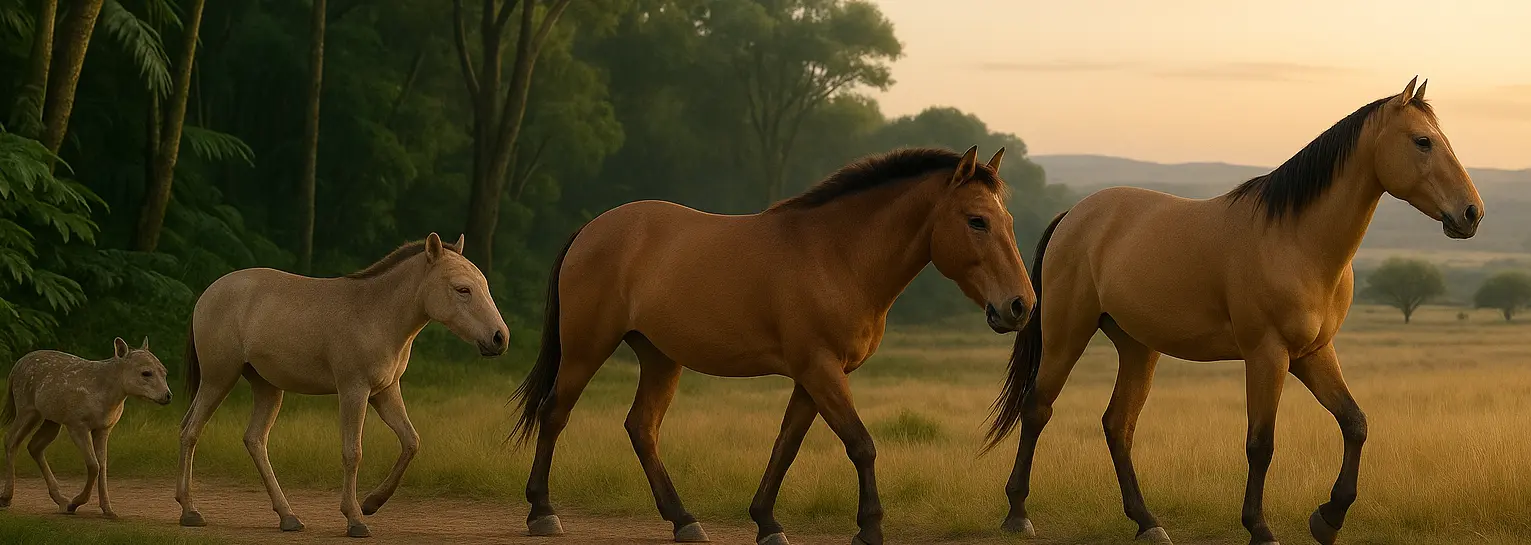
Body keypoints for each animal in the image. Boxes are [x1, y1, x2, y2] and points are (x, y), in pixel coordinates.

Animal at [1, 337, 172, 517]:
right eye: (146, 373)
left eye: (164, 372)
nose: (168, 396)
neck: (106, 396)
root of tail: (15, 368)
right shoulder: (77, 424)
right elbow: (93, 465)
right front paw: (76, 503)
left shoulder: (104, 428)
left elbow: (102, 465)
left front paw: (108, 510)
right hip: (26, 408)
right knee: (10, 439)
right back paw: (6, 497)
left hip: (50, 419)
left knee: (34, 446)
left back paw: (61, 500)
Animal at [176, 233, 510, 538]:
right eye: (462, 289)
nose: (499, 338)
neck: (376, 314)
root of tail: (207, 295)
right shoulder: (354, 391)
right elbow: (353, 452)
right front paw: (355, 519)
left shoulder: (385, 392)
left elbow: (411, 441)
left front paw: (372, 503)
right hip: (218, 378)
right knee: (191, 431)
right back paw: (190, 511)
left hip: (266, 387)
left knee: (254, 440)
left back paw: (288, 517)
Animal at [508, 146, 1035, 545]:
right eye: (977, 221)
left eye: (1008, 219)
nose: (1020, 305)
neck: (837, 254)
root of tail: (591, 230)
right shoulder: (820, 370)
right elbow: (860, 444)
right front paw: (869, 529)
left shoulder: (815, 376)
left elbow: (787, 446)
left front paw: (766, 522)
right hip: (586, 349)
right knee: (555, 414)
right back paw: (542, 512)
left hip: (660, 357)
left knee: (641, 427)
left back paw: (684, 520)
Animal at [983, 77, 1482, 545]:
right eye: (1423, 141)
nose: (1472, 213)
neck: (1297, 240)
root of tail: (1073, 215)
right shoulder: (1267, 355)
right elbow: (1261, 443)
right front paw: (1260, 527)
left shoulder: (1314, 353)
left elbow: (1354, 423)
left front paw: (1328, 518)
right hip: (1067, 335)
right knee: (1037, 409)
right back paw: (1017, 514)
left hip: (1138, 348)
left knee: (1118, 425)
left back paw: (1148, 523)